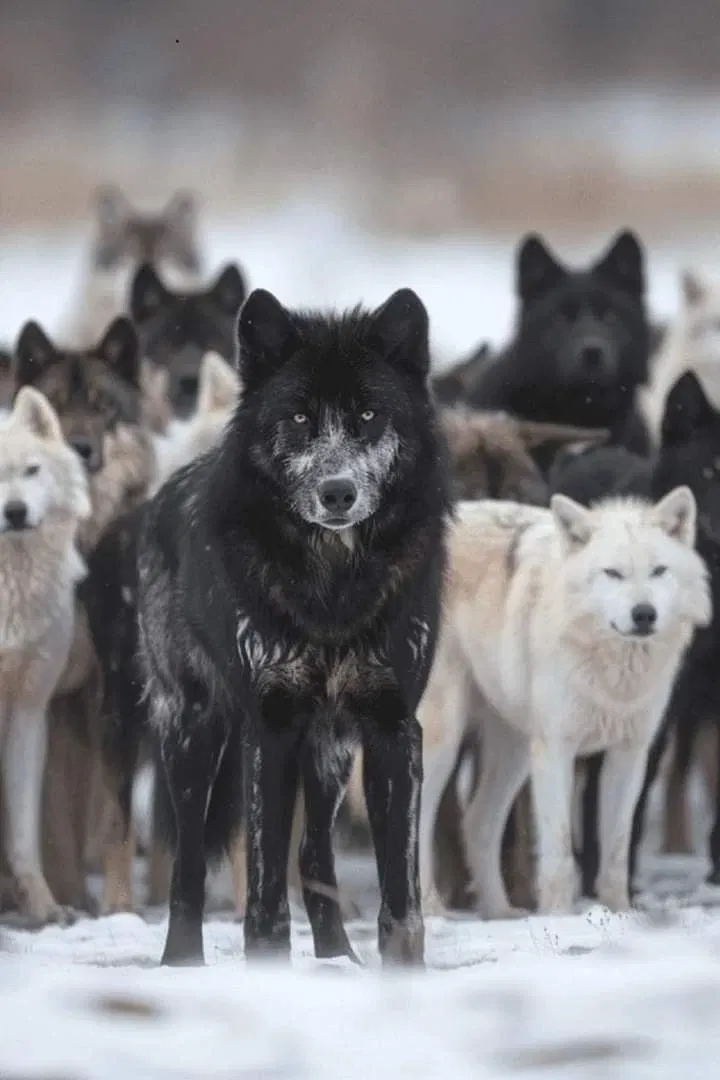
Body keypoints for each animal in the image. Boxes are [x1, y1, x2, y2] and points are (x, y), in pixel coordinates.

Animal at [137, 286, 452, 967]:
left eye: (367, 415)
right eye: (302, 419)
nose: (337, 493)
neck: (332, 587)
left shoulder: (392, 729)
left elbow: (401, 897)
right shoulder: (270, 728)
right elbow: (262, 897)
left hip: (330, 752)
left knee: (313, 857)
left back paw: (338, 962)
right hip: (193, 734)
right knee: (188, 865)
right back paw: (181, 964)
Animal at [419, 487, 710, 918]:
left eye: (659, 571)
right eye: (613, 573)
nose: (644, 614)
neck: (614, 670)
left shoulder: (629, 754)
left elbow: (616, 852)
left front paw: (618, 912)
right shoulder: (557, 750)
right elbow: (558, 851)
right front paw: (558, 917)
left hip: (515, 749)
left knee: (477, 822)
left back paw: (501, 914)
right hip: (444, 739)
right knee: (417, 819)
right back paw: (430, 910)